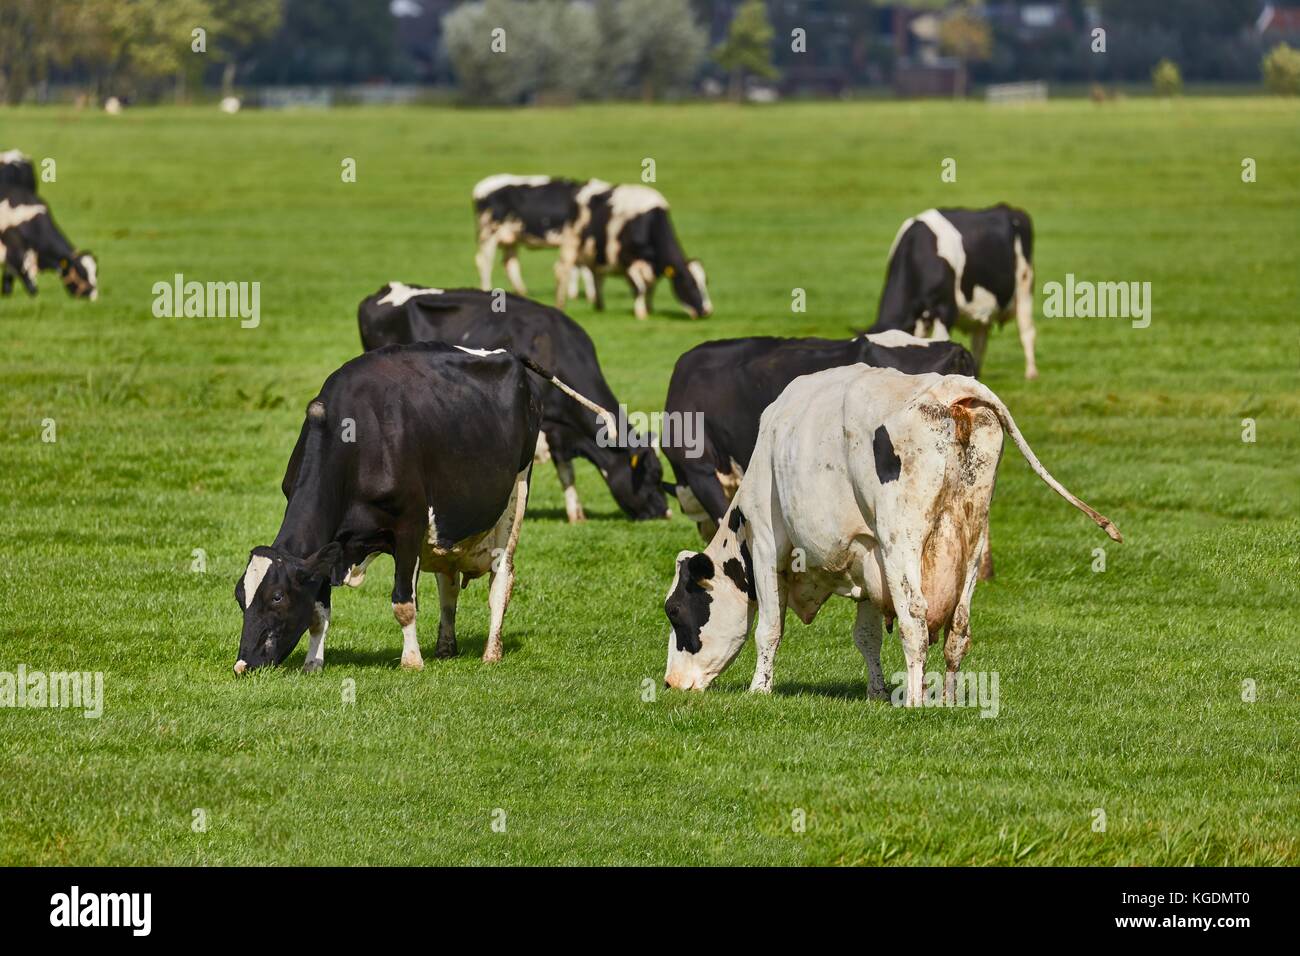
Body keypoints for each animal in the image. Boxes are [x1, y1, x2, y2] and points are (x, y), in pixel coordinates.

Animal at [234, 341, 616, 674]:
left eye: (277, 597)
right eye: (240, 596)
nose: (243, 664)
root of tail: (507, 354)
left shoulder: (408, 525)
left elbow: (404, 603)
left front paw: (411, 662)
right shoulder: (330, 545)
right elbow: (318, 610)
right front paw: (313, 663)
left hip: (517, 493)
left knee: (501, 578)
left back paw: (491, 652)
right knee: (449, 583)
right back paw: (445, 647)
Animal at [472, 174, 605, 302]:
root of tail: (480, 187)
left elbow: (577, 268)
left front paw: (575, 295)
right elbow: (585, 270)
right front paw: (590, 296)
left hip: (510, 237)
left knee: (510, 263)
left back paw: (522, 292)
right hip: (489, 233)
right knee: (485, 262)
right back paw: (487, 290)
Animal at [557, 183, 711, 321]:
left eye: (706, 282)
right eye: (689, 284)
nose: (707, 310)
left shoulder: (653, 268)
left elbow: (650, 289)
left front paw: (650, 309)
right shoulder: (628, 261)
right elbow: (640, 289)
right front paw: (641, 314)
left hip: (597, 257)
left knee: (597, 278)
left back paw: (599, 307)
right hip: (570, 246)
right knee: (562, 272)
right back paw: (561, 305)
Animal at [661, 364, 1121, 707]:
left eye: (676, 611)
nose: (669, 683)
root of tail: (949, 386)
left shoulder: (767, 547)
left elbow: (769, 628)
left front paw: (760, 689)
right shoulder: (868, 558)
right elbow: (866, 638)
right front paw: (877, 691)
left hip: (903, 537)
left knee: (915, 619)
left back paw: (917, 701)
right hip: (972, 536)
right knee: (959, 628)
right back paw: (948, 699)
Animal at [868, 204, 1037, 379]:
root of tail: (1008, 208)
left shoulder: (946, 310)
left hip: (1025, 284)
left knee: (1027, 330)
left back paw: (1031, 373)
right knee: (980, 342)